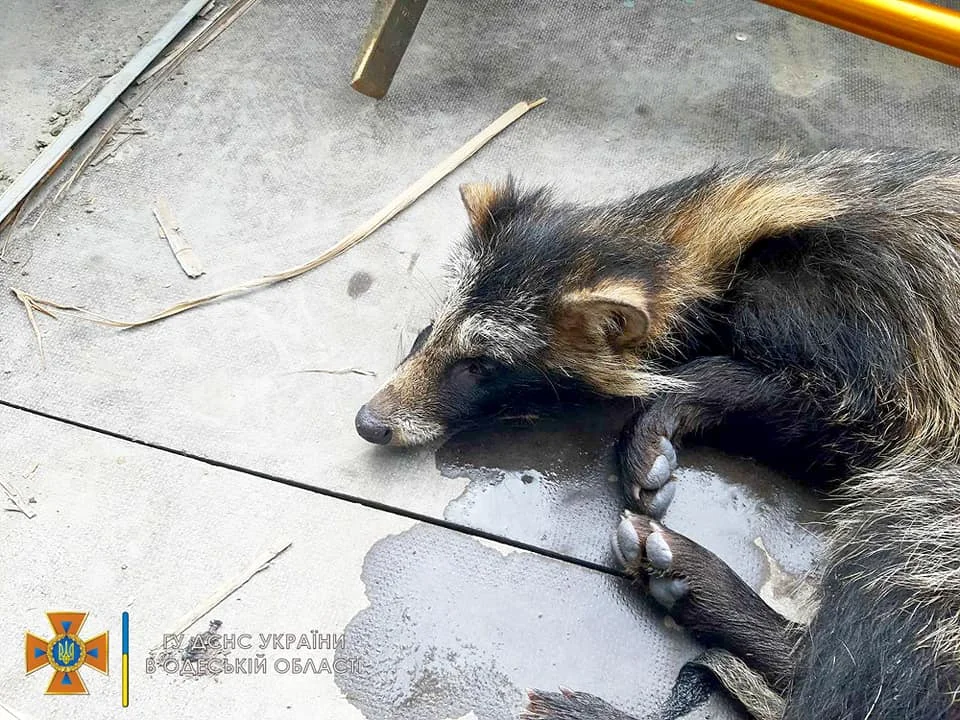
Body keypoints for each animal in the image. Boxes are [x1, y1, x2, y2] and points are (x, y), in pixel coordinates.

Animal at [356, 148, 960, 720]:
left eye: (481, 365)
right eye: (432, 329)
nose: (369, 421)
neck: (675, 238)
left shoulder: (852, 318)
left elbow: (842, 419)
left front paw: (672, 405)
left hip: (932, 510)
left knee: (893, 540)